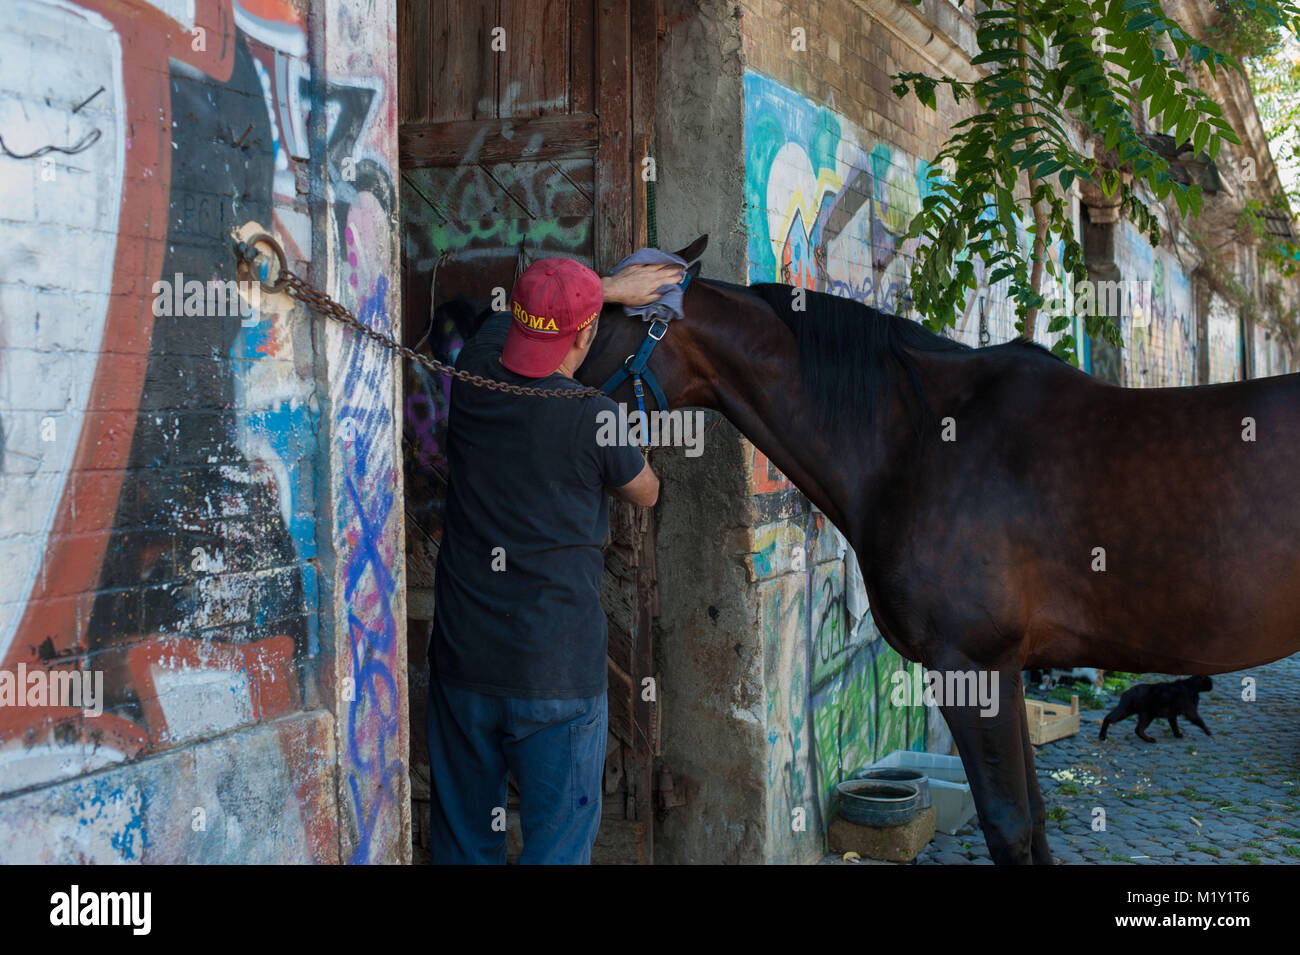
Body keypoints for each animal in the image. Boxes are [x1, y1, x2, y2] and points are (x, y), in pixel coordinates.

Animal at [575, 237, 1300, 864]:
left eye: (602, 327)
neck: (922, 441)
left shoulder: (971, 666)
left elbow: (1007, 824)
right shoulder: (1005, 668)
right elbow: (1035, 817)